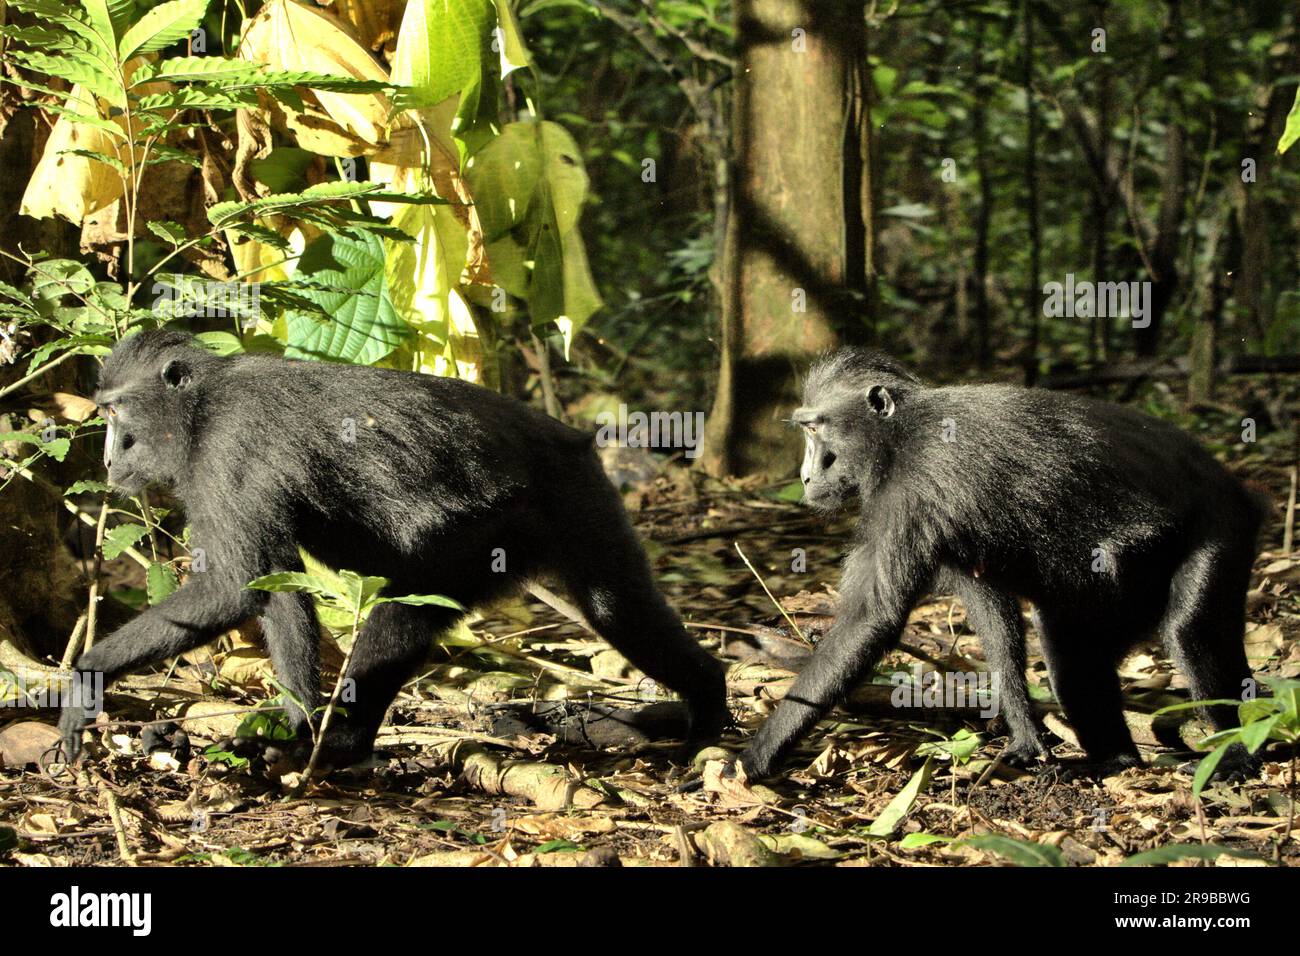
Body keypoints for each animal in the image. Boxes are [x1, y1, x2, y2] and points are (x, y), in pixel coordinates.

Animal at [58, 331, 728, 766]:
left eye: (115, 414)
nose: (109, 460)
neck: (201, 407)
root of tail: (570, 439)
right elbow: (274, 585)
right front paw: (297, 722)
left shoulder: (229, 449)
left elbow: (234, 587)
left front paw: (88, 676)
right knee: (620, 608)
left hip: (540, 512)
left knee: (413, 608)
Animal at [738, 348, 1267, 780]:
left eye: (815, 428)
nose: (807, 476)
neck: (899, 434)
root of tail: (1235, 485)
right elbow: (991, 610)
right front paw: (1026, 734)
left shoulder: (913, 486)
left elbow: (872, 620)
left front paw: (755, 756)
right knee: (1070, 649)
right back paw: (1115, 759)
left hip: (1223, 526)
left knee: (1189, 631)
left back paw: (1237, 755)